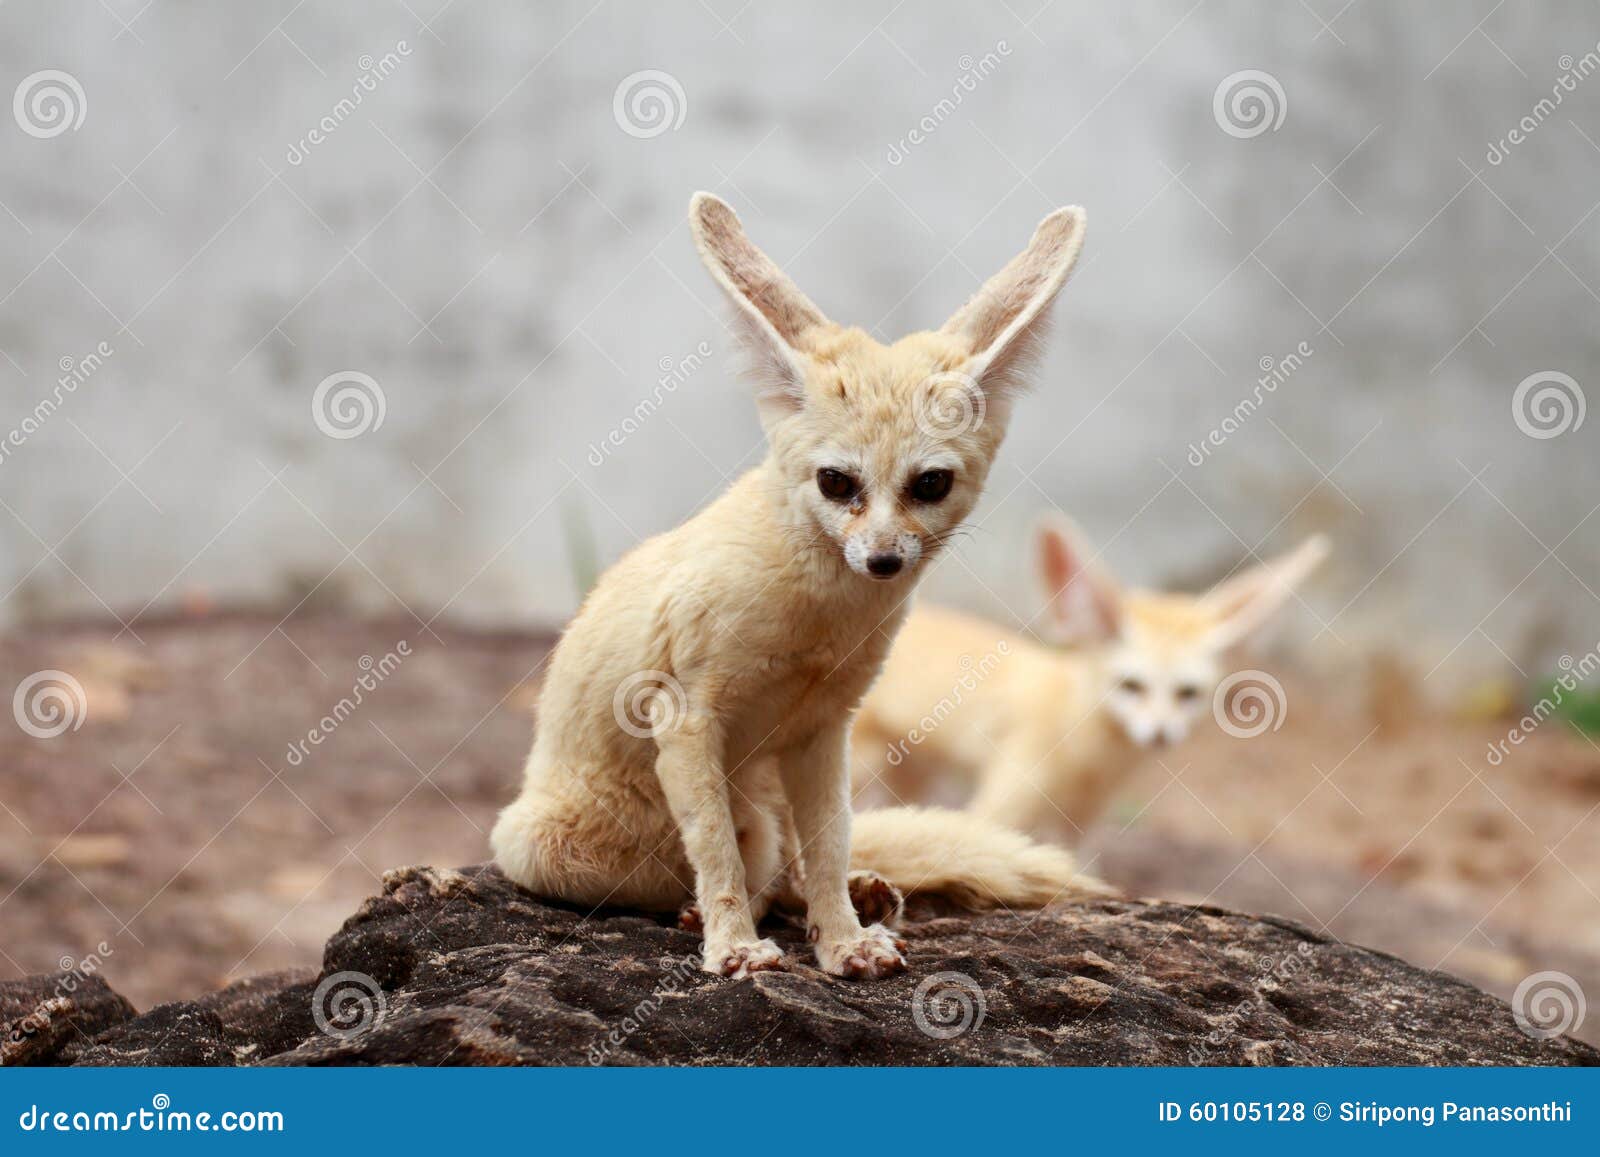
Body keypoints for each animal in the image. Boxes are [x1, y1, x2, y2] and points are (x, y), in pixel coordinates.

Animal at [491, 192, 1095, 979]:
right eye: (837, 483)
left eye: (930, 484)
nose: (883, 561)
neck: (820, 621)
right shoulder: (684, 718)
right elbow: (716, 850)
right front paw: (734, 945)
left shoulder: (825, 730)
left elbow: (831, 842)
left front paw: (841, 938)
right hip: (546, 842)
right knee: (741, 861)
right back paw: (712, 911)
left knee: (792, 864)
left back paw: (852, 896)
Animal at [852, 513, 1329, 842]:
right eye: (1131, 685)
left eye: (1188, 693)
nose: (1160, 734)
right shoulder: (1005, 800)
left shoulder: (1081, 823)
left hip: (911, 772)